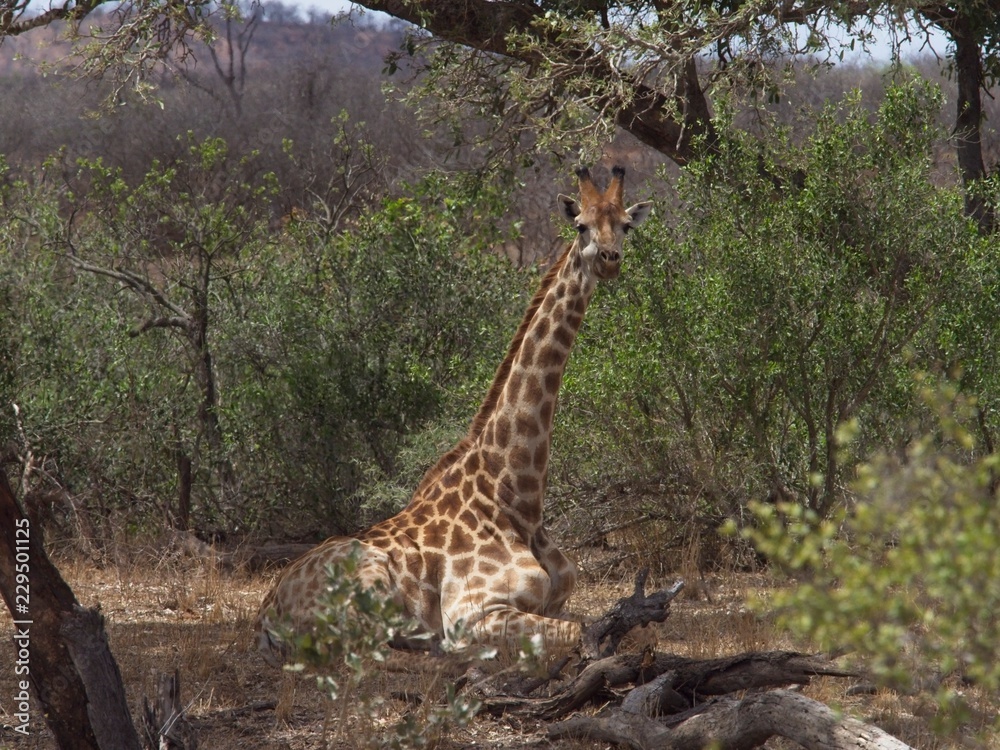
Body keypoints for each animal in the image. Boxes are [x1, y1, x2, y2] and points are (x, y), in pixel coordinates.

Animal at [256, 166, 652, 665]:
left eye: (626, 225)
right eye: (580, 225)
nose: (609, 259)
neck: (516, 495)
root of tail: (266, 611)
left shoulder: (556, 598)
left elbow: (611, 628)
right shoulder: (472, 613)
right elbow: (580, 633)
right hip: (366, 585)